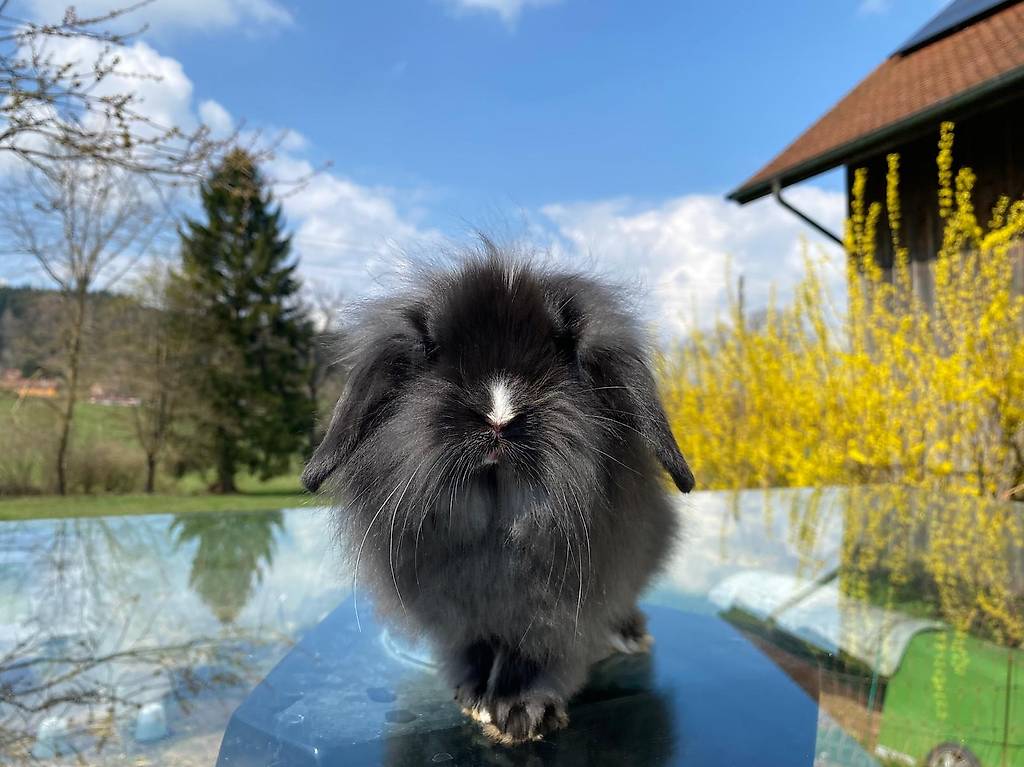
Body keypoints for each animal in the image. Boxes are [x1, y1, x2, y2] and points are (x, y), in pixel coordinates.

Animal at [303, 247, 695, 744]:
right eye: (433, 351)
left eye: (563, 350)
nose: (499, 416)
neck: (496, 519)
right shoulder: (458, 616)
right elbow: (472, 651)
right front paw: (472, 696)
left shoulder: (556, 616)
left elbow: (534, 659)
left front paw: (519, 713)